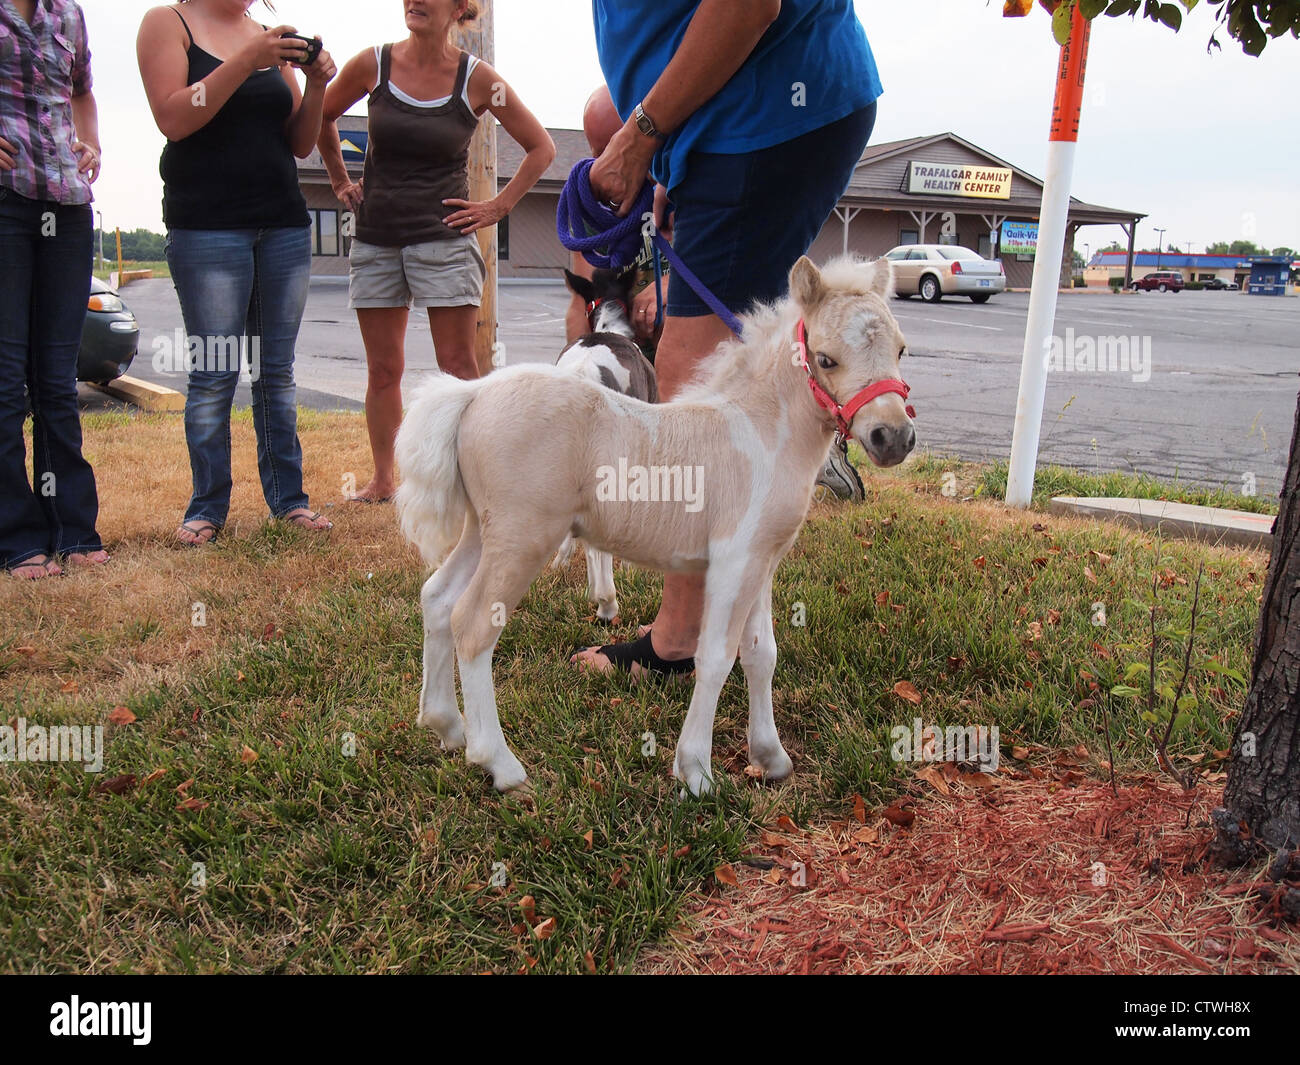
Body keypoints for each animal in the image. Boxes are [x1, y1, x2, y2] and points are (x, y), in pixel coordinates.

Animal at [395, 255, 914, 796]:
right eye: (826, 358)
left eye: (900, 348)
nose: (893, 437)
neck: (760, 434)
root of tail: (473, 393)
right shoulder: (734, 561)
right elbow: (716, 656)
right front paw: (696, 772)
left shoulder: (762, 561)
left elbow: (760, 653)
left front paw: (770, 758)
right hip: (522, 537)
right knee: (473, 624)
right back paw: (500, 764)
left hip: (484, 531)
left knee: (437, 598)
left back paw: (445, 726)